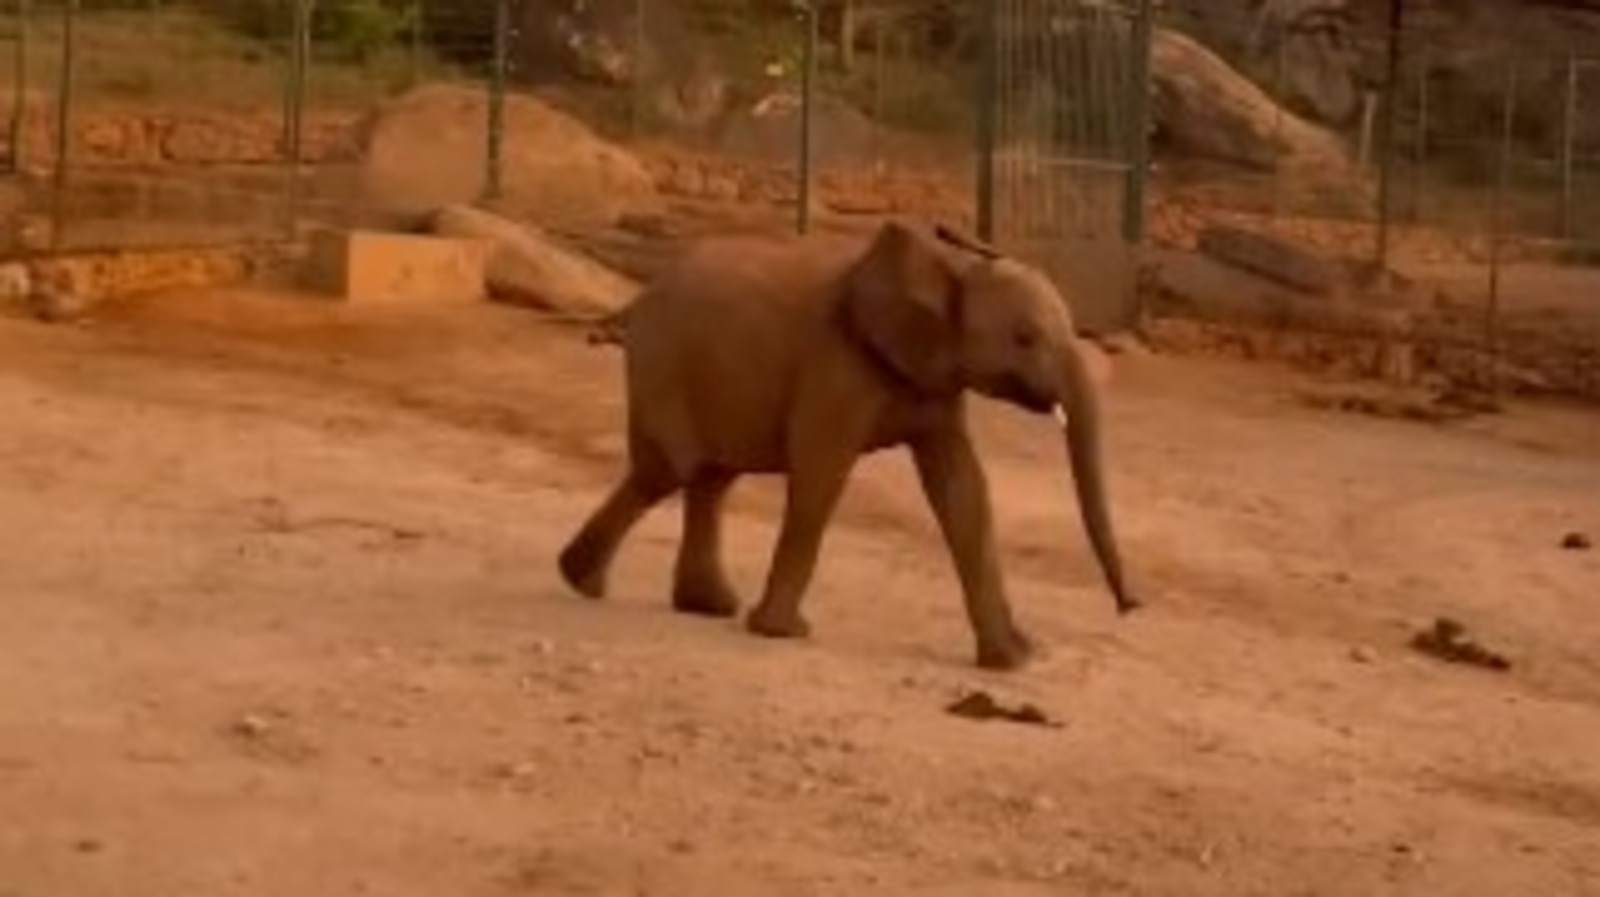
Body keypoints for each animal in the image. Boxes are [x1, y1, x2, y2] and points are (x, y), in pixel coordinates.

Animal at [557, 218, 1136, 670]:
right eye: (1024, 338)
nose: (1130, 607)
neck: (950, 264)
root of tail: (637, 299)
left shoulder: (933, 380)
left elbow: (963, 490)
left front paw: (1013, 660)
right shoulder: (836, 363)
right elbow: (822, 472)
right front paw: (782, 633)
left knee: (711, 478)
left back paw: (703, 606)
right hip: (664, 360)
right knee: (668, 471)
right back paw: (583, 582)